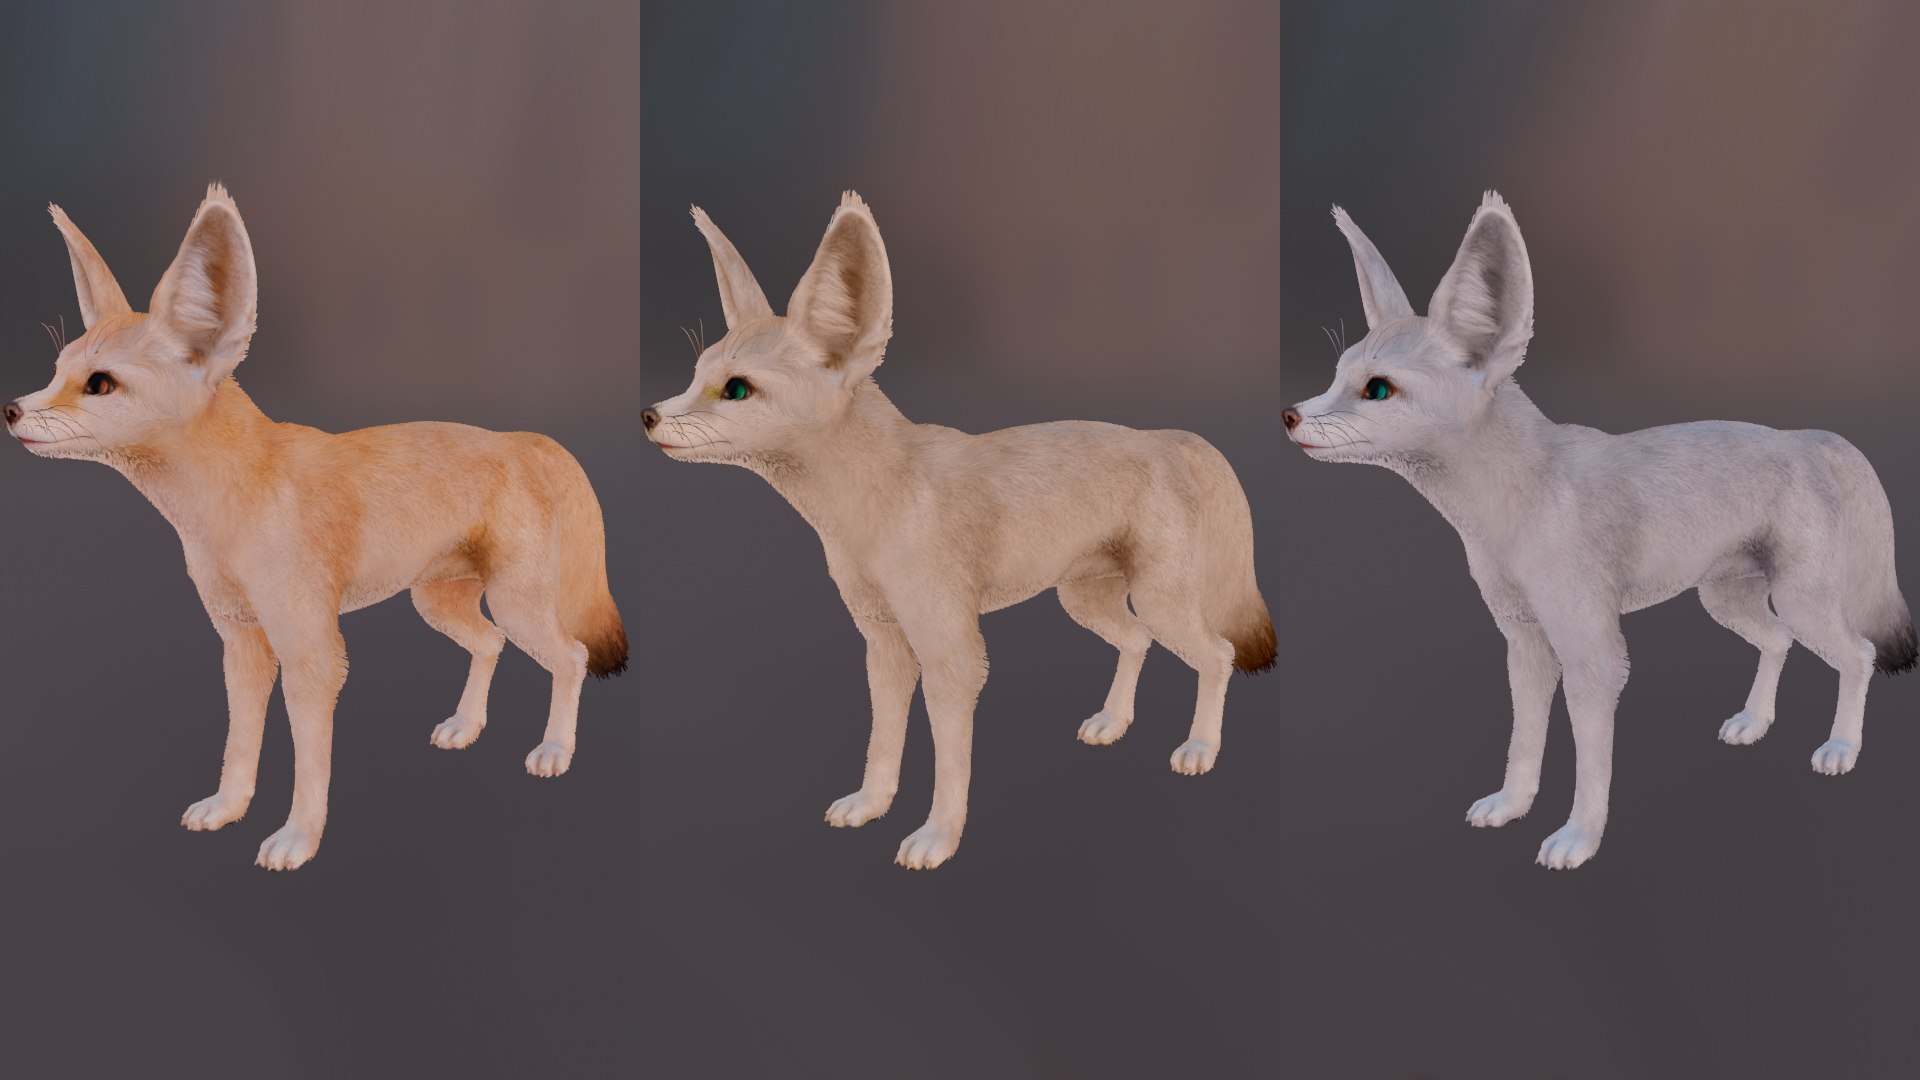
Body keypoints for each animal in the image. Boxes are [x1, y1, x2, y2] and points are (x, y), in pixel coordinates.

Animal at [5, 185, 627, 871]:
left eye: (100, 384)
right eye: (56, 370)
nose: (10, 410)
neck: (229, 505)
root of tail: (522, 438)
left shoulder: (315, 654)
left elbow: (310, 764)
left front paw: (298, 839)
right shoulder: (242, 643)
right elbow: (240, 744)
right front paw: (228, 808)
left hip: (518, 605)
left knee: (570, 655)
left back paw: (555, 750)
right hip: (436, 603)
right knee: (489, 643)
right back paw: (466, 726)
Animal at [644, 192, 1274, 870]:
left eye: (735, 389)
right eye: (694, 375)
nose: (649, 415)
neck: (873, 503)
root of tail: (1165, 437)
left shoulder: (955, 653)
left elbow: (950, 762)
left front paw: (938, 837)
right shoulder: (884, 644)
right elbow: (883, 742)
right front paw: (871, 804)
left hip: (1160, 600)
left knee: (1217, 654)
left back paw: (1200, 748)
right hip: (1084, 600)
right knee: (1136, 641)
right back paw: (1113, 721)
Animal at [1285, 192, 1914, 869]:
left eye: (1377, 389)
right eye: (1335, 375)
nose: (1290, 415)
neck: (1512, 506)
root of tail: (1805, 437)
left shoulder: (1595, 654)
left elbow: (1592, 764)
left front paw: (1579, 838)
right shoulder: (1525, 643)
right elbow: (1524, 742)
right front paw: (1512, 805)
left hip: (1802, 600)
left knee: (1859, 654)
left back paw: (1841, 748)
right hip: (1726, 600)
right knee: (1778, 641)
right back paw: (1753, 721)